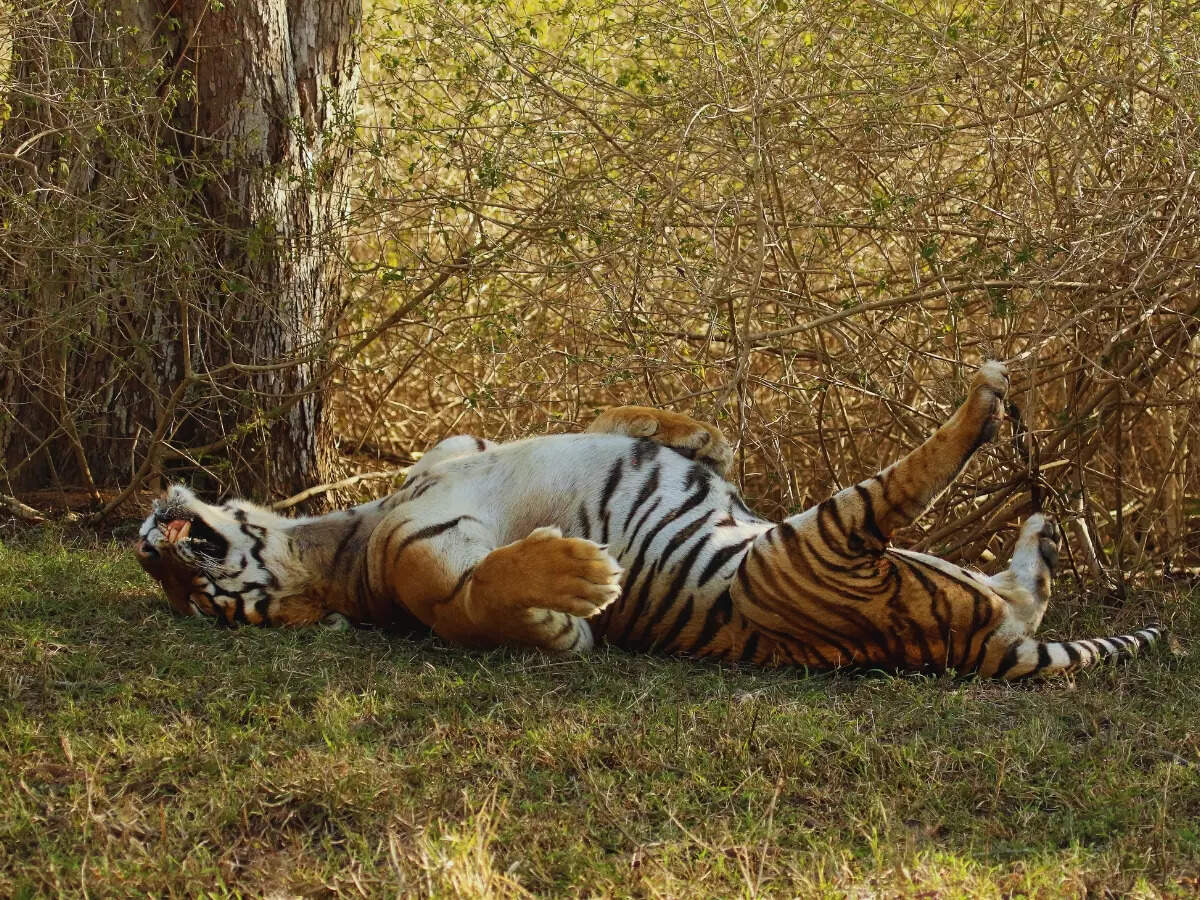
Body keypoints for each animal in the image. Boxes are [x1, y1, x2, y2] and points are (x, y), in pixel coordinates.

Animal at [135, 361, 1161, 678]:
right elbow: (482, 596)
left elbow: (622, 418)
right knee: (907, 484)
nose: (149, 548)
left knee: (1028, 586)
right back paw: (985, 407)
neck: (343, 532)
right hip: (817, 545)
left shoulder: (459, 441)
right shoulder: (428, 582)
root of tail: (972, 647)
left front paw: (693, 434)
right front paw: (577, 585)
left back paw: (1040, 528)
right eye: (209, 610)